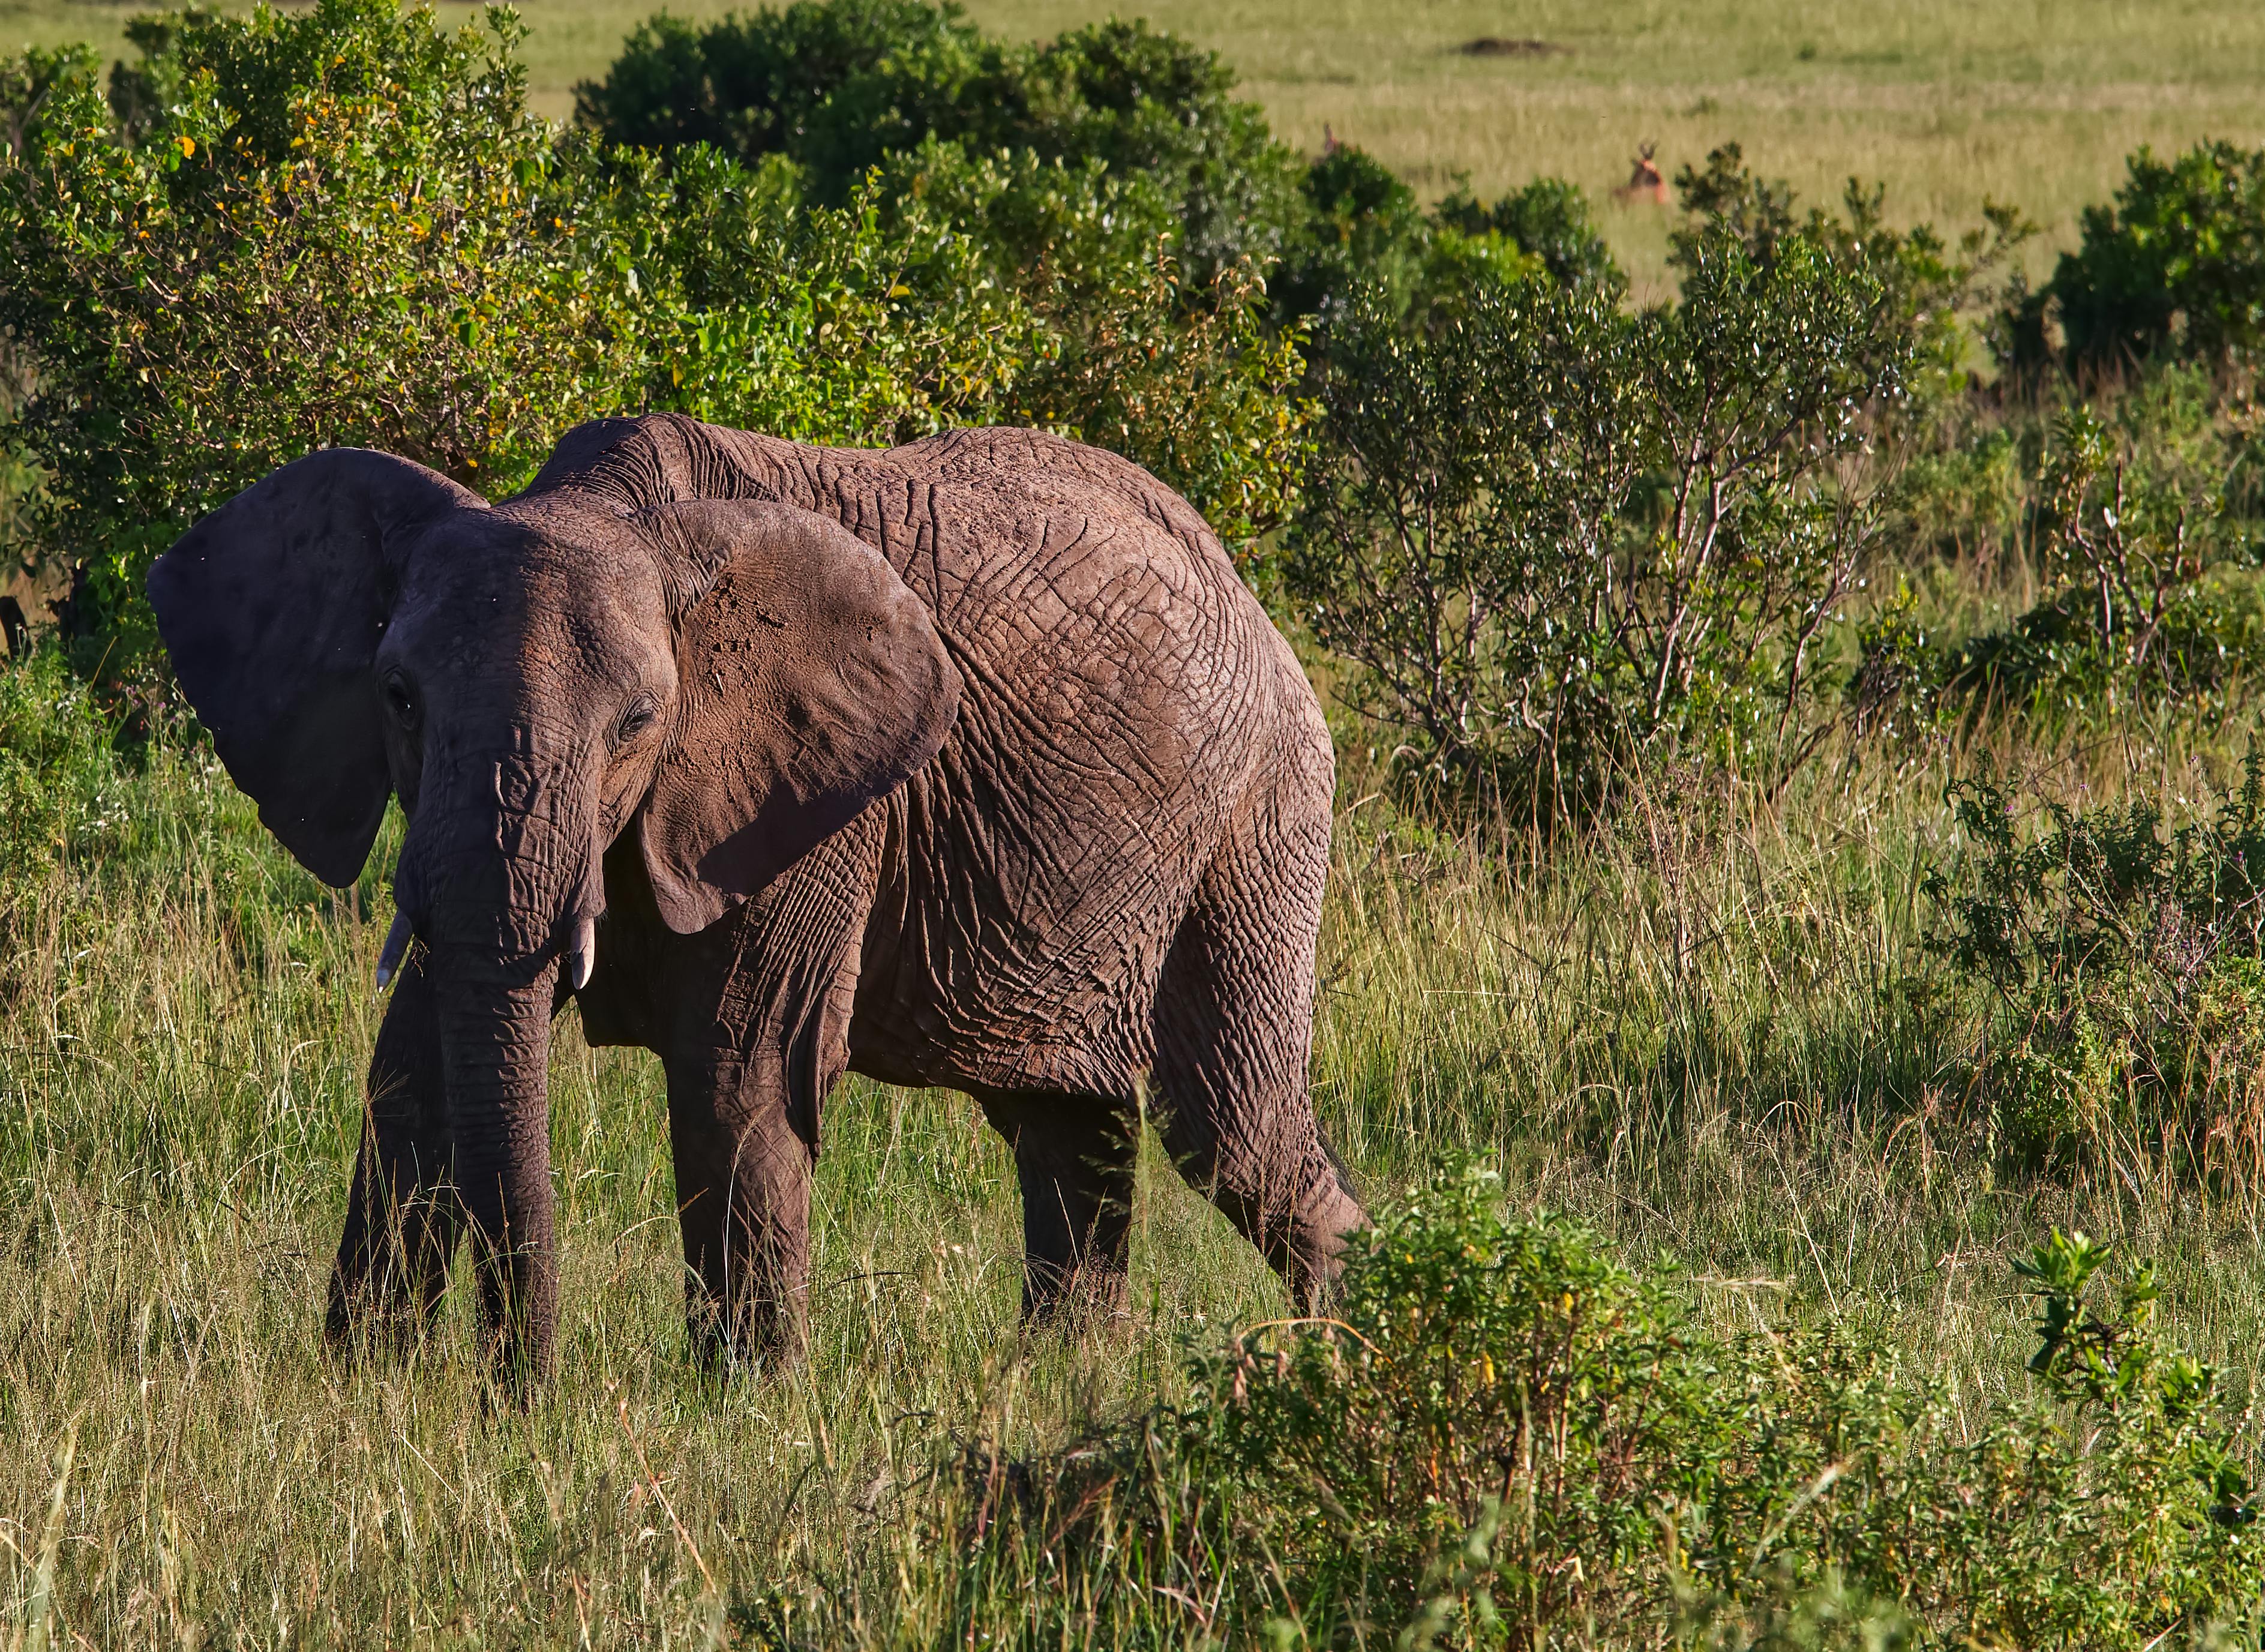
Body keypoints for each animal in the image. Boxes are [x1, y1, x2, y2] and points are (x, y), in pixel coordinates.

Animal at [147, 413, 1365, 1381]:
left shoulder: (814, 795)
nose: (518, 1393)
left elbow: (735, 1068)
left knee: (1232, 1133)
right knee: (1068, 1132)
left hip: (1257, 820)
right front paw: (363, 1390)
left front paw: (745, 1407)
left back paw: (1361, 1351)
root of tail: (1252, 600)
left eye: (640, 721)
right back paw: (1063, 1383)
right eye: (396, 695)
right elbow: (414, 1064)